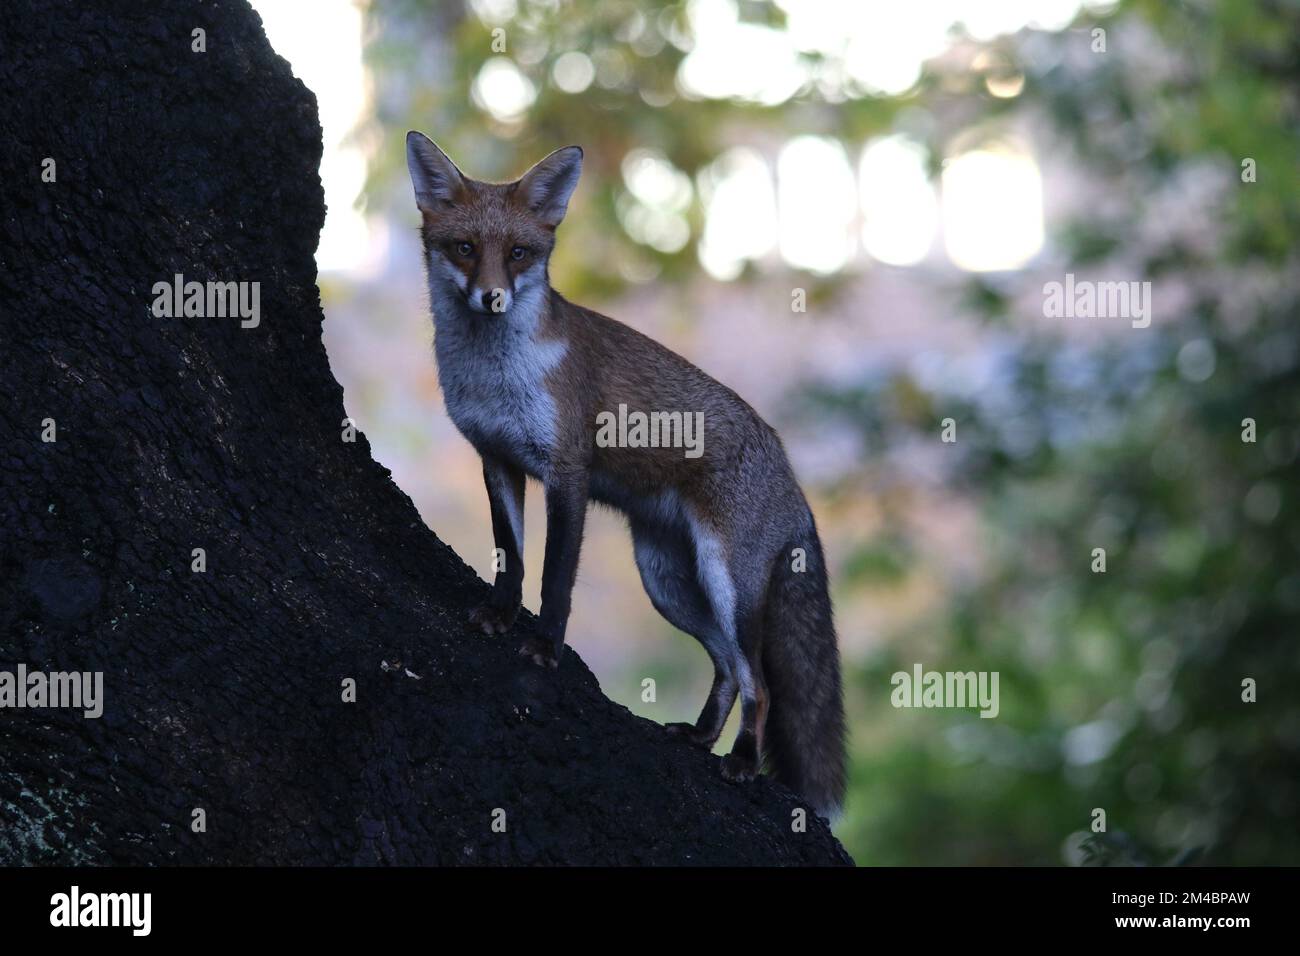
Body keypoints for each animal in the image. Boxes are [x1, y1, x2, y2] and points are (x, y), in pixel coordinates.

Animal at [405, 131, 847, 816]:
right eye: (465, 248)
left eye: (519, 252)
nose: (492, 298)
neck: (495, 377)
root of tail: (792, 476)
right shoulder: (497, 459)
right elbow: (511, 556)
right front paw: (500, 614)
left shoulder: (567, 474)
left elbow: (555, 580)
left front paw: (544, 648)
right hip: (668, 581)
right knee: (727, 669)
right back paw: (699, 737)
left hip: (724, 581)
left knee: (761, 683)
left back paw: (743, 761)